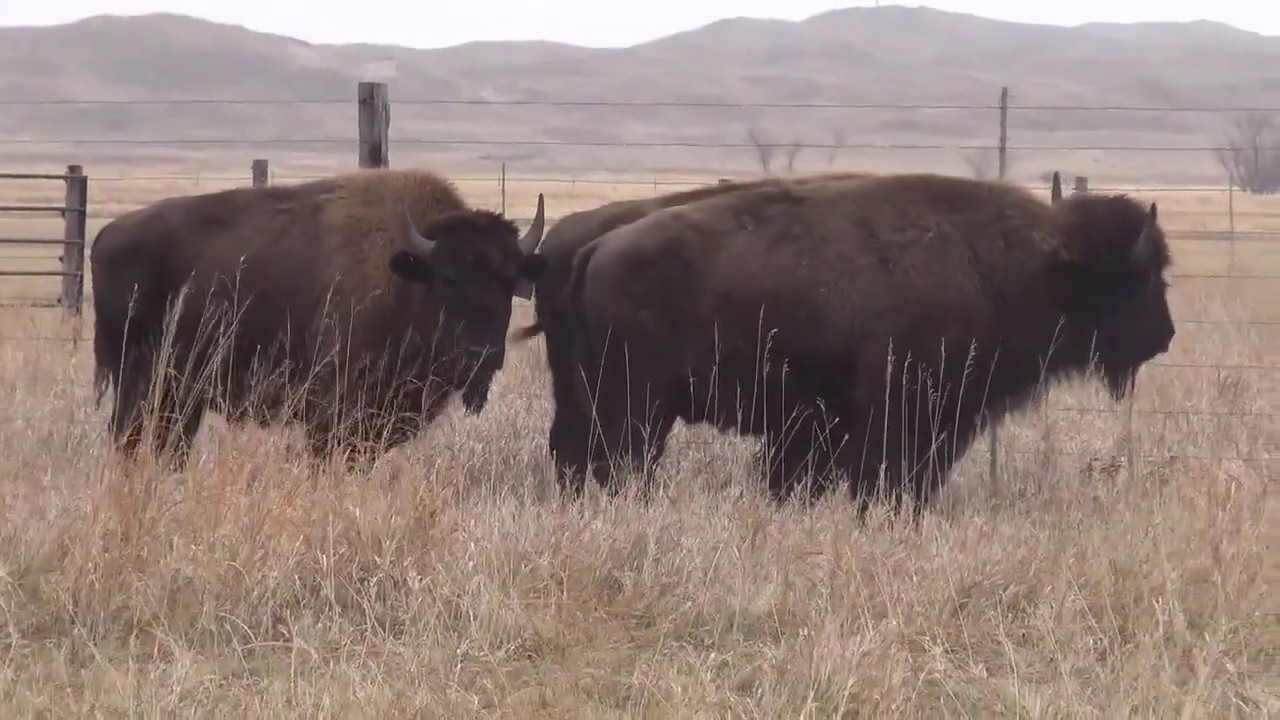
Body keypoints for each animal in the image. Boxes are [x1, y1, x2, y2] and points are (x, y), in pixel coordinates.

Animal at [90, 167, 548, 471]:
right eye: (447, 279)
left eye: (509, 281)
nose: (481, 353)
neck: (407, 277)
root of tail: (106, 236)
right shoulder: (328, 413)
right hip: (139, 380)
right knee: (129, 435)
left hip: (179, 392)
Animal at [552, 172, 1175, 513]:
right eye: (1144, 275)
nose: (1164, 335)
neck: (1036, 264)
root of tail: (597, 249)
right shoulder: (906, 421)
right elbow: (892, 482)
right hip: (637, 406)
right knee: (620, 462)